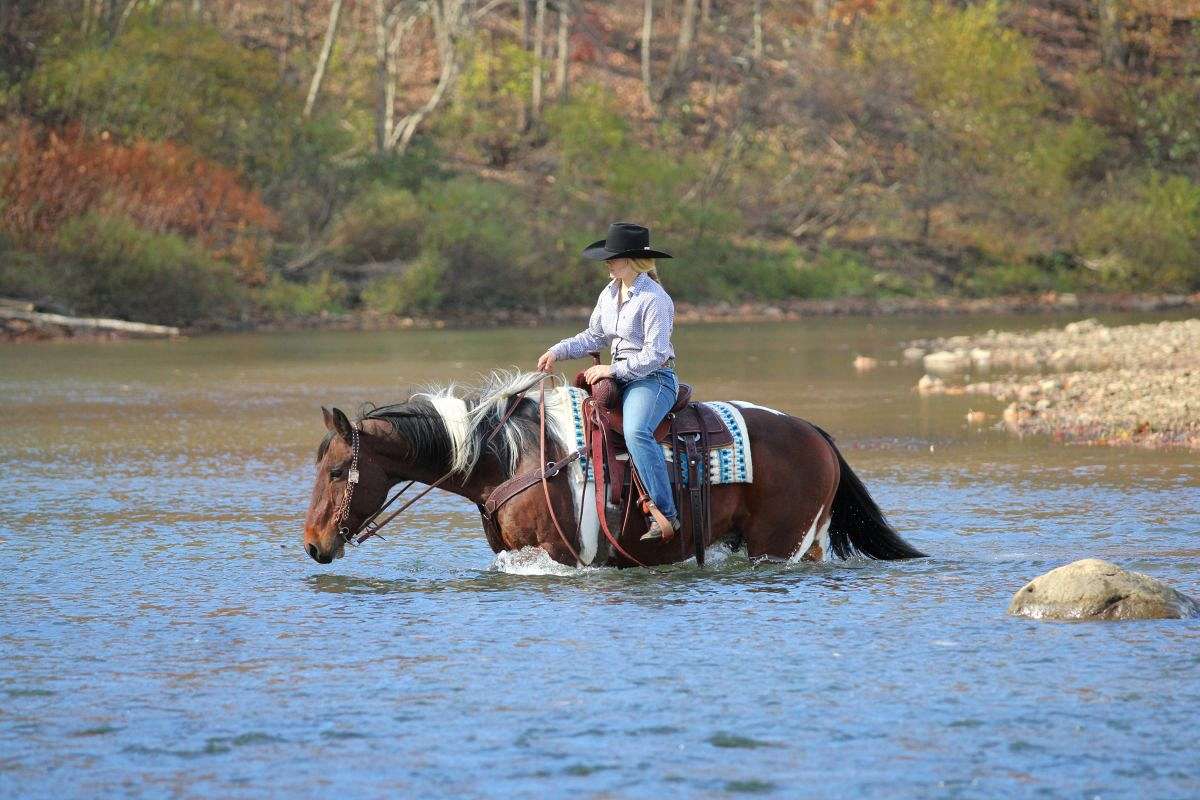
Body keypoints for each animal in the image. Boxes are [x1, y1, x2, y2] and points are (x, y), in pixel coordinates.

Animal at [302, 370, 925, 567]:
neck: (515, 455)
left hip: (779, 546)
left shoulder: (561, 555)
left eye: (336, 471)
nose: (312, 544)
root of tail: (817, 434)